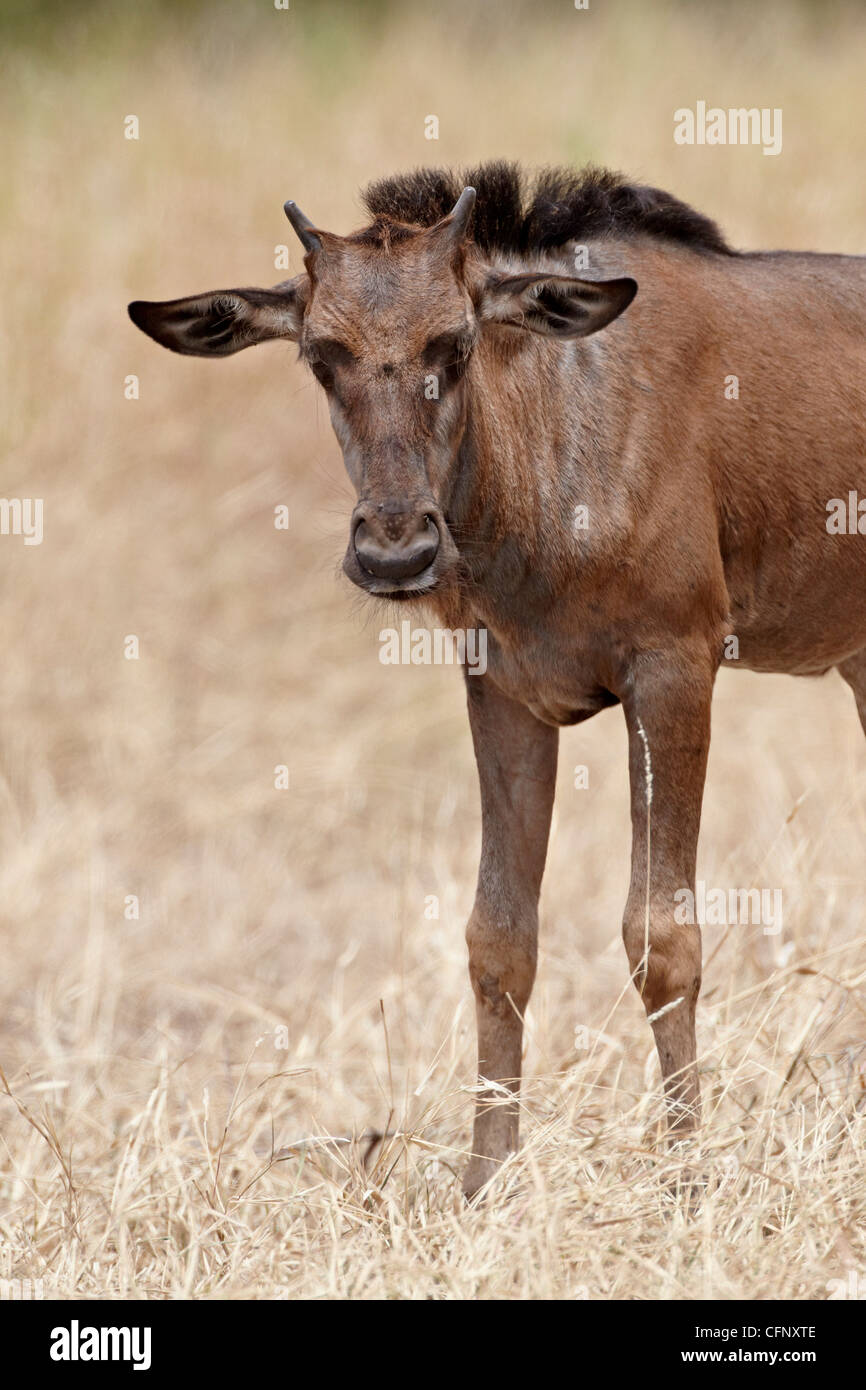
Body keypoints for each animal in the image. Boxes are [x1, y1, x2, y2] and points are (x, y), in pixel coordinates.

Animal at [129, 162, 866, 1198]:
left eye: (457, 341)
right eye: (320, 356)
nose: (396, 551)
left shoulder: (675, 664)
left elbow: (662, 934)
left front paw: (688, 1167)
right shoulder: (505, 687)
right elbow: (499, 937)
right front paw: (484, 1177)